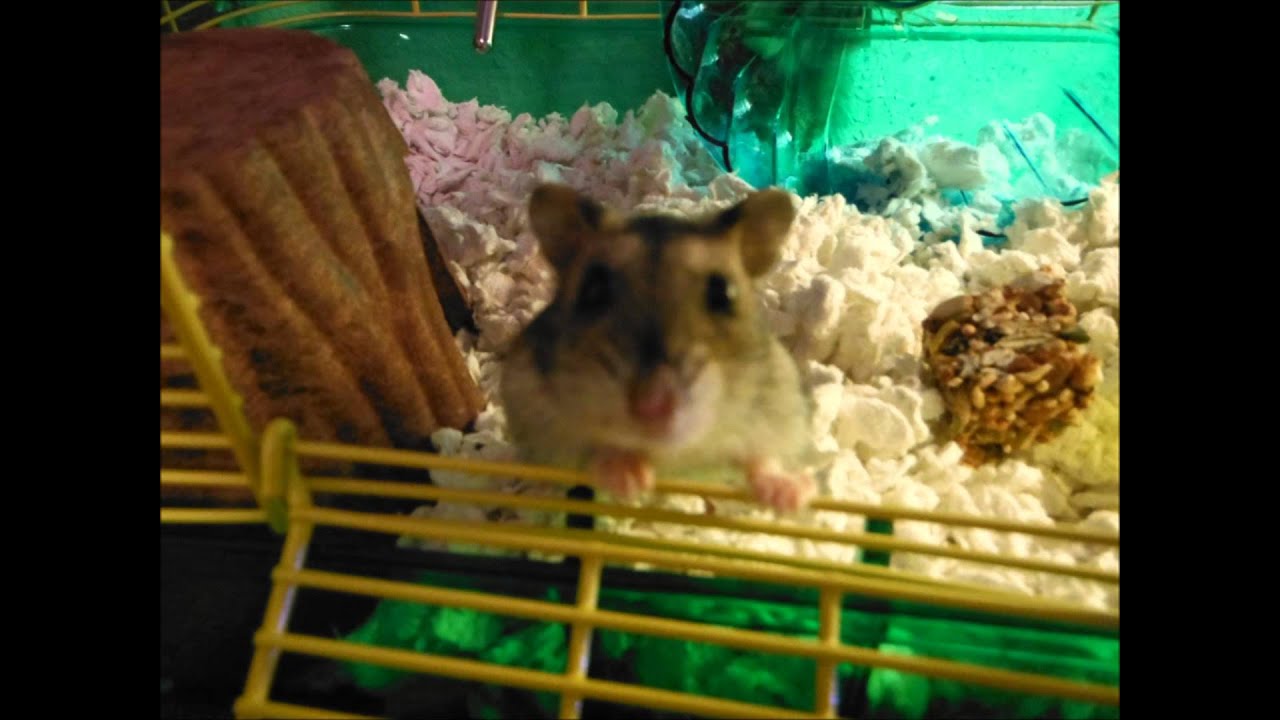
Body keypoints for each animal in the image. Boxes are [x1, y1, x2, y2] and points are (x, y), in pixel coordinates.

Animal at [500, 184, 817, 513]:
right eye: (593, 289)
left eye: (723, 293)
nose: (653, 407)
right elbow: (594, 451)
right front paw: (630, 477)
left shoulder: (779, 404)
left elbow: (763, 459)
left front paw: (795, 494)